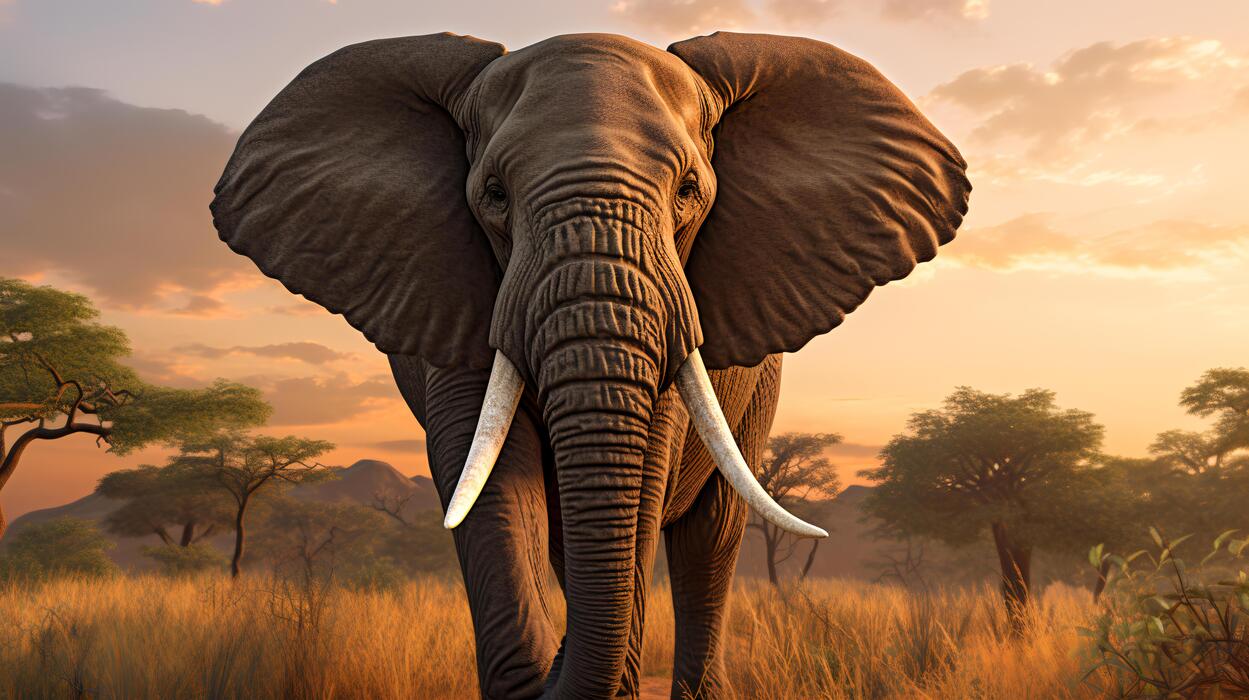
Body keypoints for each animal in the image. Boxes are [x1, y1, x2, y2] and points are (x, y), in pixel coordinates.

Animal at [210, 31, 969, 699]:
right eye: (493, 194)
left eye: (688, 190)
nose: (556, 668)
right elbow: (485, 474)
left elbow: (648, 471)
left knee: (712, 535)